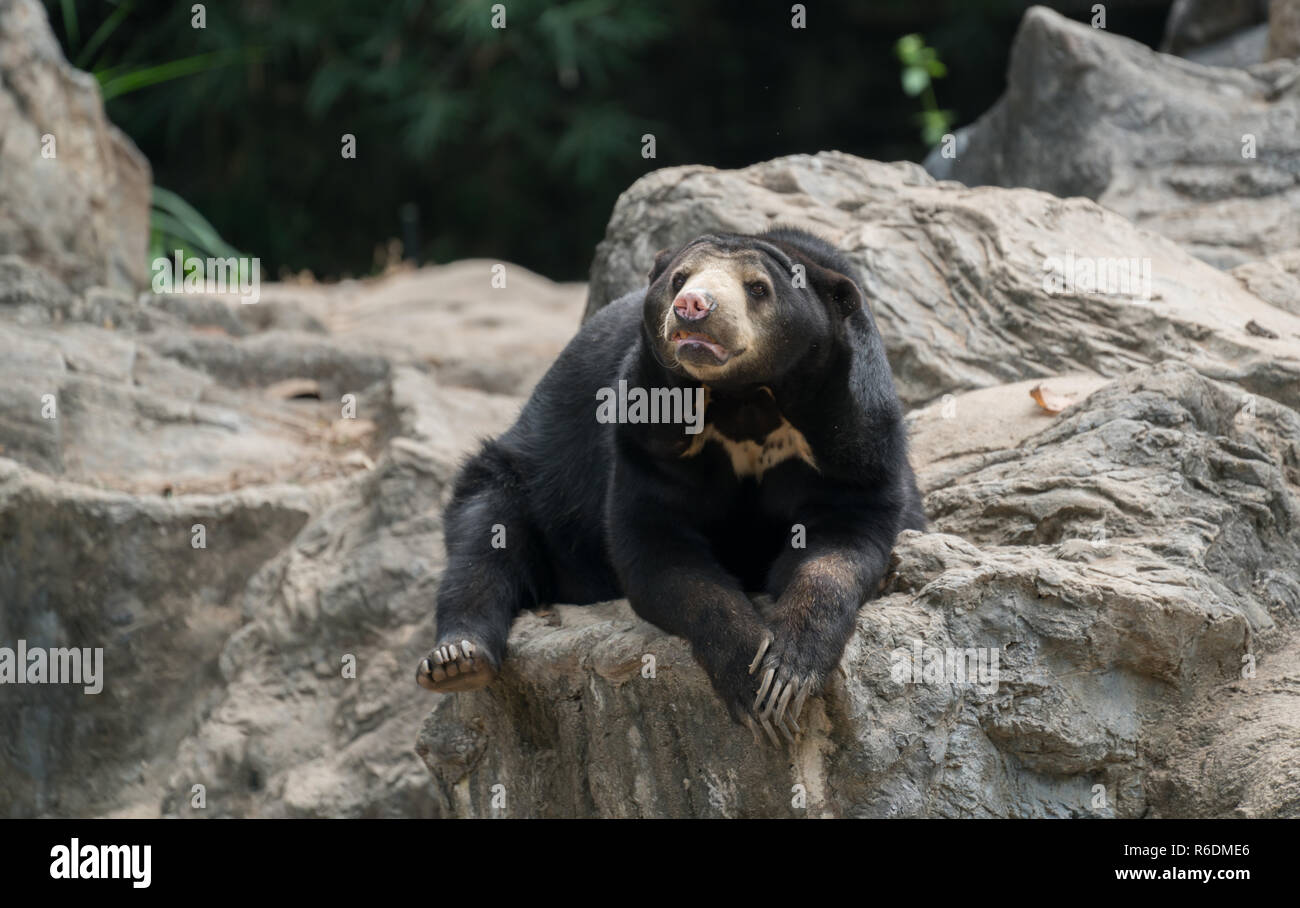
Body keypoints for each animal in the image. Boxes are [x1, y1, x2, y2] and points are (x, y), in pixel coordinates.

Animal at [416, 226, 925, 745]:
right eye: (680, 278)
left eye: (758, 287)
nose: (693, 305)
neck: (746, 402)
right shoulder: (647, 440)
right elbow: (659, 549)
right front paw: (750, 680)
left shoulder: (854, 441)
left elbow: (841, 545)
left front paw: (787, 675)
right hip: (524, 475)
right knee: (484, 538)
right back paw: (458, 659)